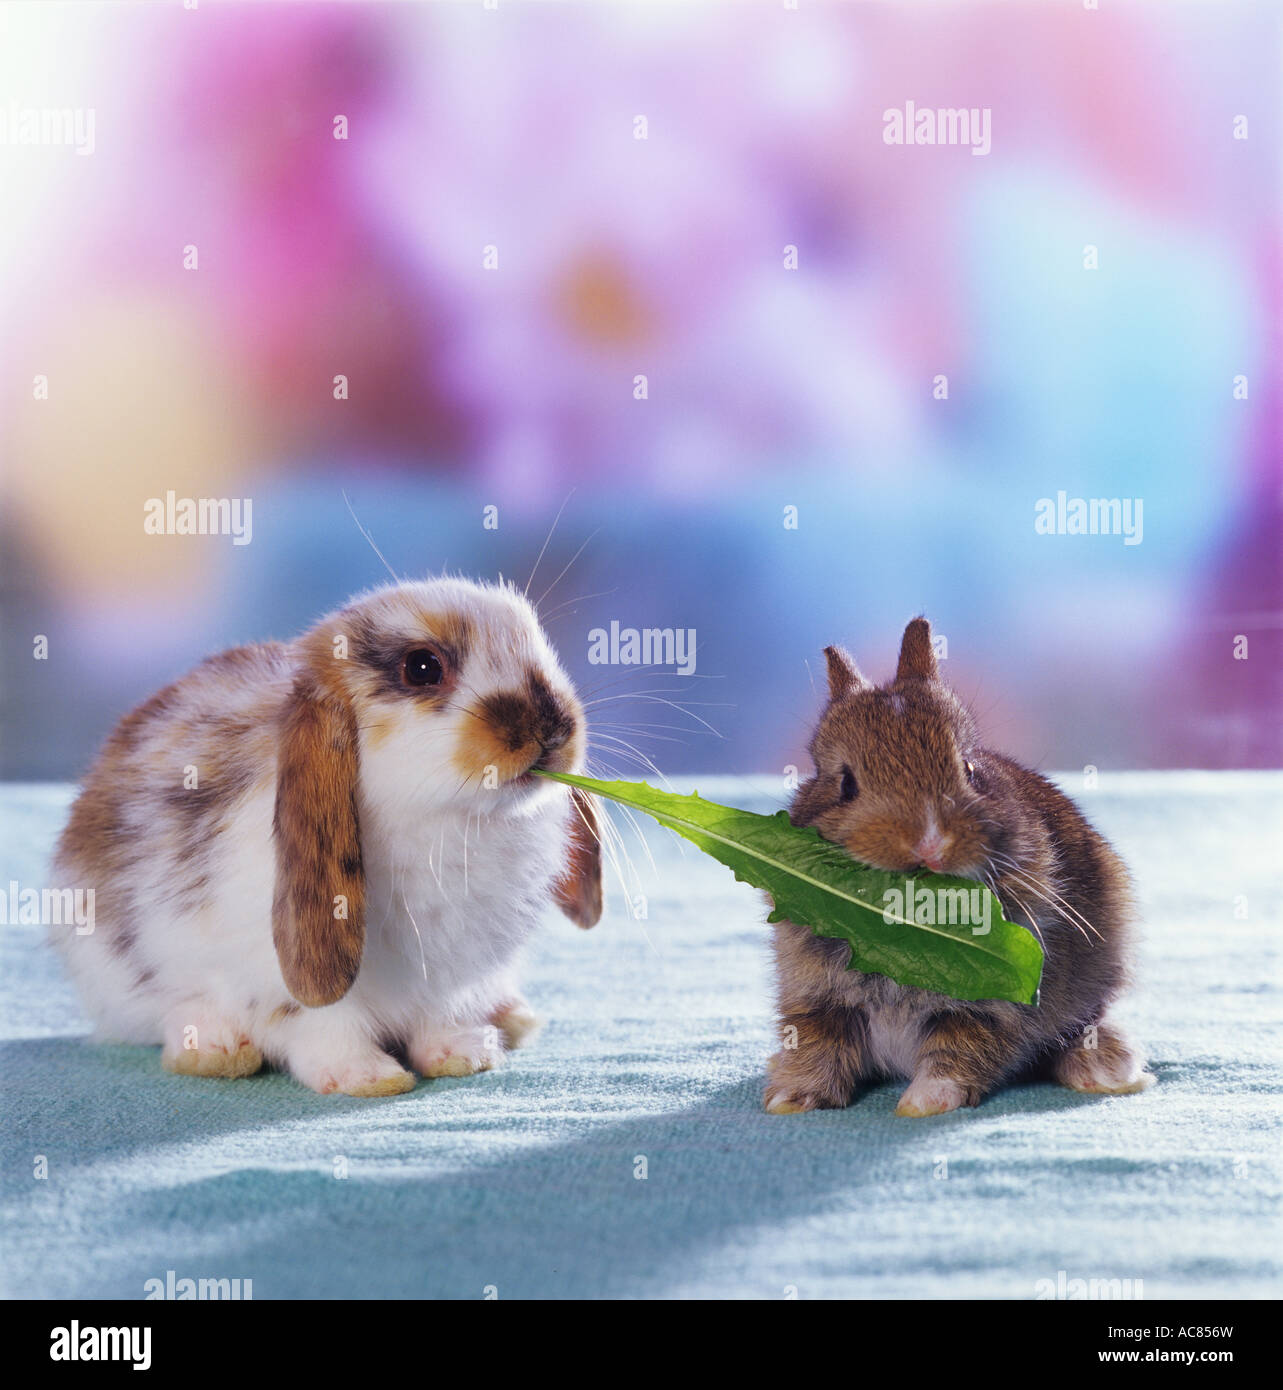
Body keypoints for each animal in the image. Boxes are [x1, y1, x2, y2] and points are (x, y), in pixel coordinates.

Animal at [50, 577, 603, 1096]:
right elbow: (322, 1024)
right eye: (422, 667)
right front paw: (367, 1077)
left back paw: (513, 1016)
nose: (552, 728)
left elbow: (440, 1019)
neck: (455, 822)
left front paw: (463, 1054)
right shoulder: (285, 975)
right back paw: (215, 1048)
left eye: (539, 644)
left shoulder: (452, 977)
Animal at [765, 617, 1153, 1117]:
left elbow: (959, 1050)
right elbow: (817, 1045)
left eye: (969, 769)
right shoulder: (816, 999)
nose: (930, 844)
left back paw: (1107, 1068)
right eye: (845, 784)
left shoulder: (989, 1010)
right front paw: (790, 1101)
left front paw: (923, 1104)